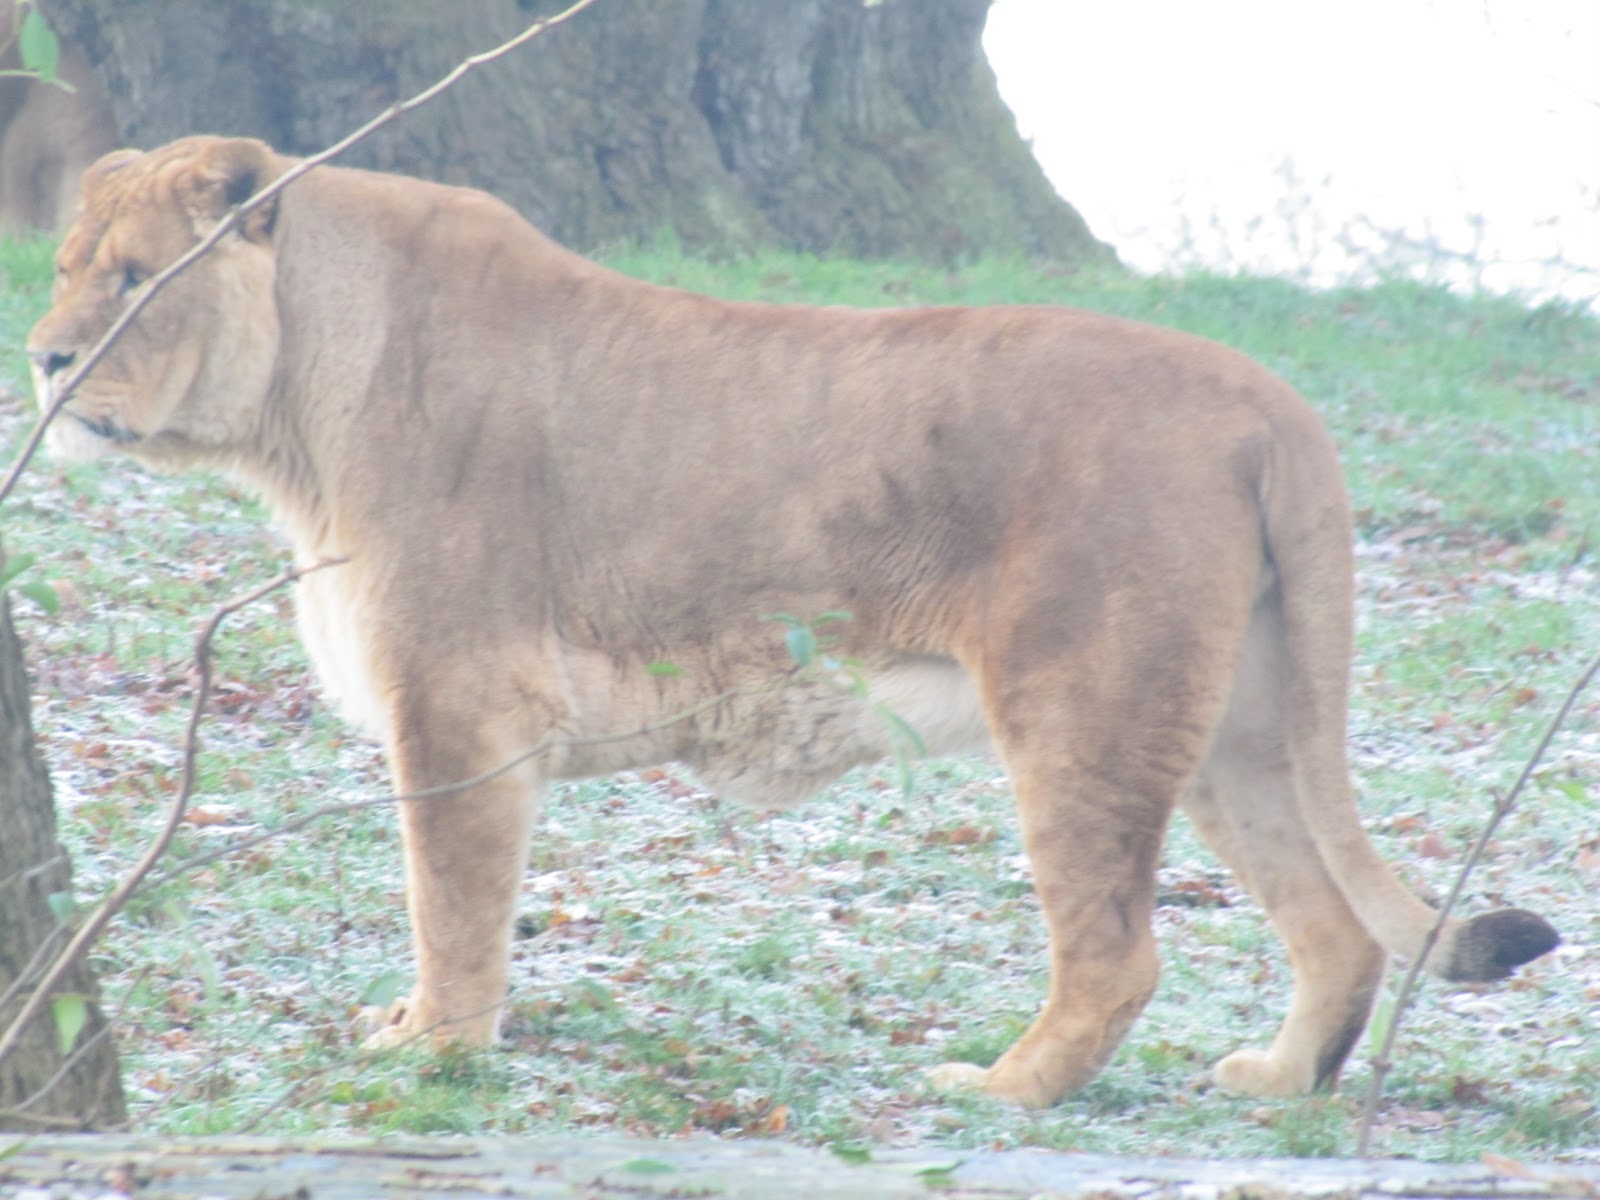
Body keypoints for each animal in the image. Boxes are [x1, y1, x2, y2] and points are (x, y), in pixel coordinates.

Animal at [27, 136, 1557, 1109]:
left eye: (137, 278)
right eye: (64, 266)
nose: (42, 362)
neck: (298, 409)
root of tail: (1269, 394)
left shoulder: (459, 701)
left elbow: (448, 901)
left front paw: (439, 1054)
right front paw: (413, 1032)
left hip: (1086, 707)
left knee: (1118, 951)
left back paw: (999, 1091)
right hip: (1240, 722)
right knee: (1335, 926)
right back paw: (1279, 1082)